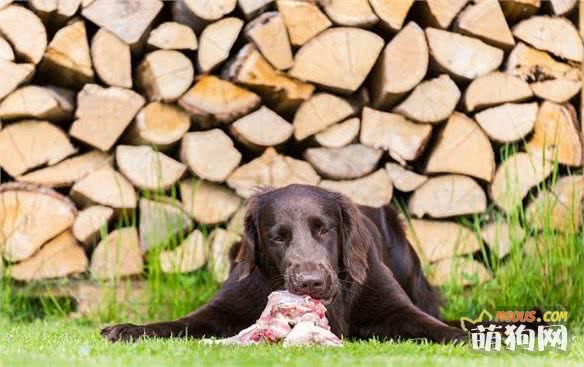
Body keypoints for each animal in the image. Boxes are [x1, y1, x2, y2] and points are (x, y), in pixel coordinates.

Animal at [100, 185, 466, 344]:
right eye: (277, 236)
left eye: (324, 229)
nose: (310, 282)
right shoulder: (224, 308)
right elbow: (178, 323)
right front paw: (130, 329)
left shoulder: (393, 307)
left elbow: (435, 328)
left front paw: (468, 335)